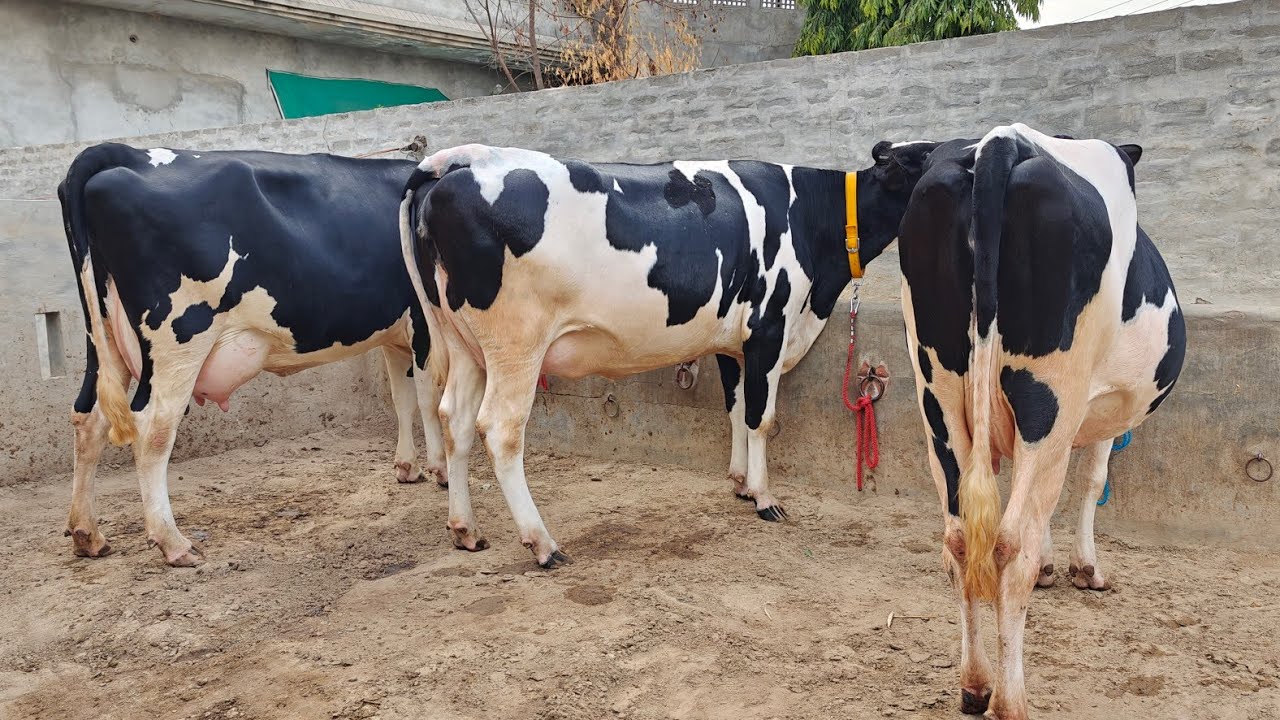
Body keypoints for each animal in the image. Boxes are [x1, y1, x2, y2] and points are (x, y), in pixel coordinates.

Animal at [58, 143, 445, 567]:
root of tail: (128, 152)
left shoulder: (397, 333)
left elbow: (402, 399)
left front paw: (407, 467)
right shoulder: (423, 324)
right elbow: (428, 400)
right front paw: (440, 469)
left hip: (104, 338)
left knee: (89, 417)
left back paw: (87, 533)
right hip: (178, 340)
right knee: (152, 429)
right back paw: (173, 542)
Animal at [398, 143, 918, 567]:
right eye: (925, 161)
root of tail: (455, 161)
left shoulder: (731, 340)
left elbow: (735, 409)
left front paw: (740, 483)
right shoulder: (770, 326)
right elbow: (761, 417)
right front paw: (765, 498)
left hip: (465, 345)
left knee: (454, 419)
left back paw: (465, 529)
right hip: (516, 345)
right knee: (500, 430)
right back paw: (543, 544)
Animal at [880, 124, 1185, 719]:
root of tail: (1000, 143)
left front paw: (1053, 566)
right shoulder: (1096, 411)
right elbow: (1090, 483)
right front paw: (1085, 569)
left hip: (937, 400)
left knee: (960, 538)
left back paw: (974, 685)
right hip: (1051, 398)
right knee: (1008, 544)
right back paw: (1010, 699)